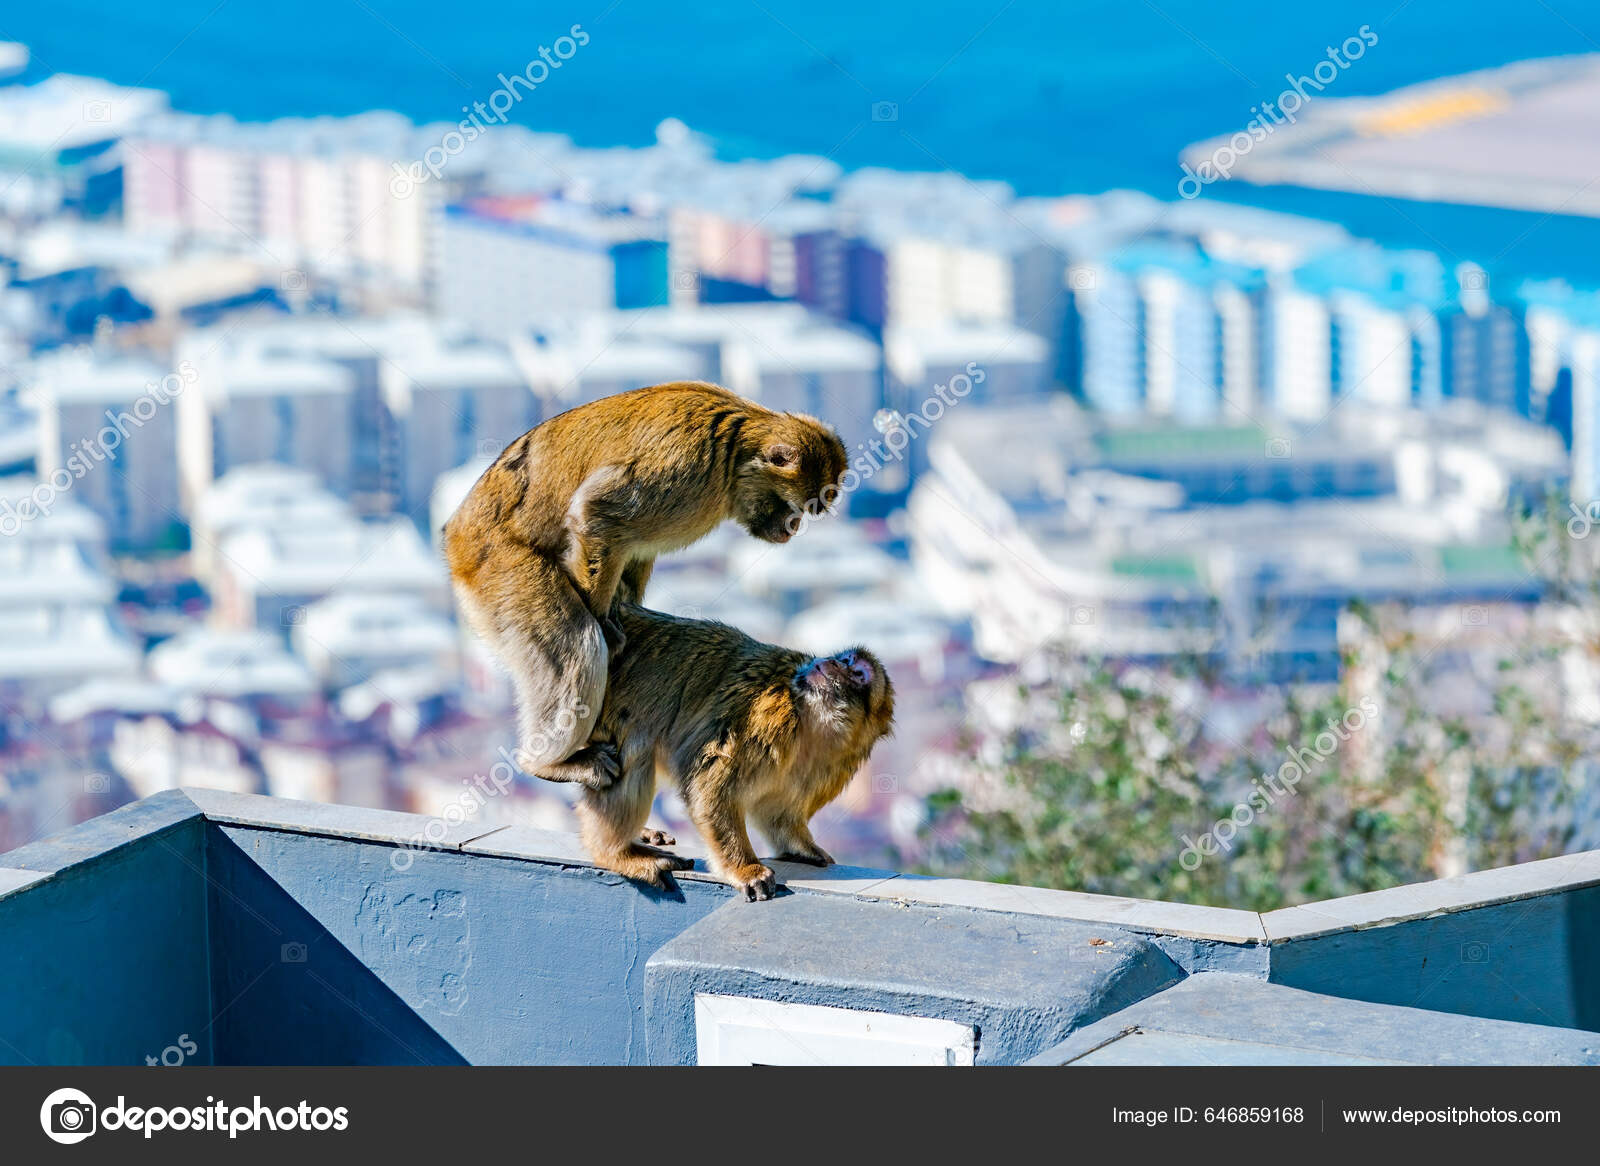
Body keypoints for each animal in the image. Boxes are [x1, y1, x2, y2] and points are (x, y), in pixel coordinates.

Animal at [442, 382, 848, 788]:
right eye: (801, 507)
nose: (794, 527)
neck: (734, 452)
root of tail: (456, 535)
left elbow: (633, 547)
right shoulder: (687, 468)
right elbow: (597, 514)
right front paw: (605, 623)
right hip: (499, 566)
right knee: (577, 643)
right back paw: (547, 762)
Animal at [573, 604, 894, 901]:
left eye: (856, 672)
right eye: (844, 659)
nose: (828, 661)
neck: (812, 726)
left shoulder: (836, 763)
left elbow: (777, 810)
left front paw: (801, 847)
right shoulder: (766, 717)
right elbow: (710, 789)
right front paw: (745, 869)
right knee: (636, 744)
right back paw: (616, 854)